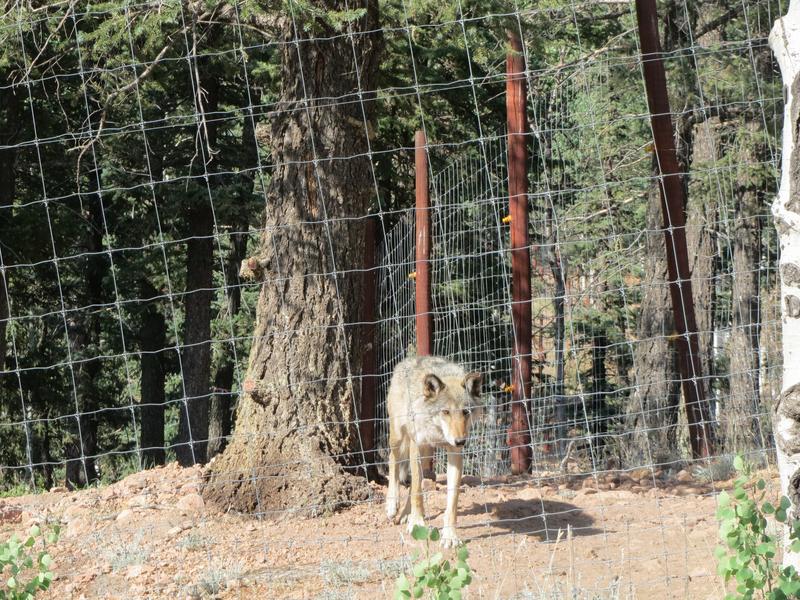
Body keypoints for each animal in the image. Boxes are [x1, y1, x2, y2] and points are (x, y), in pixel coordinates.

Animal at [386, 356, 482, 548]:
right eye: (445, 412)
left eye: (465, 412)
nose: (461, 441)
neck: (437, 430)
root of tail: (409, 359)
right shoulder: (416, 445)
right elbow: (417, 489)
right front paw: (417, 523)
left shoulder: (454, 453)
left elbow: (452, 501)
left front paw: (450, 536)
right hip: (399, 438)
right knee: (392, 460)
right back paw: (393, 505)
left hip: (425, 453)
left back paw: (406, 514)